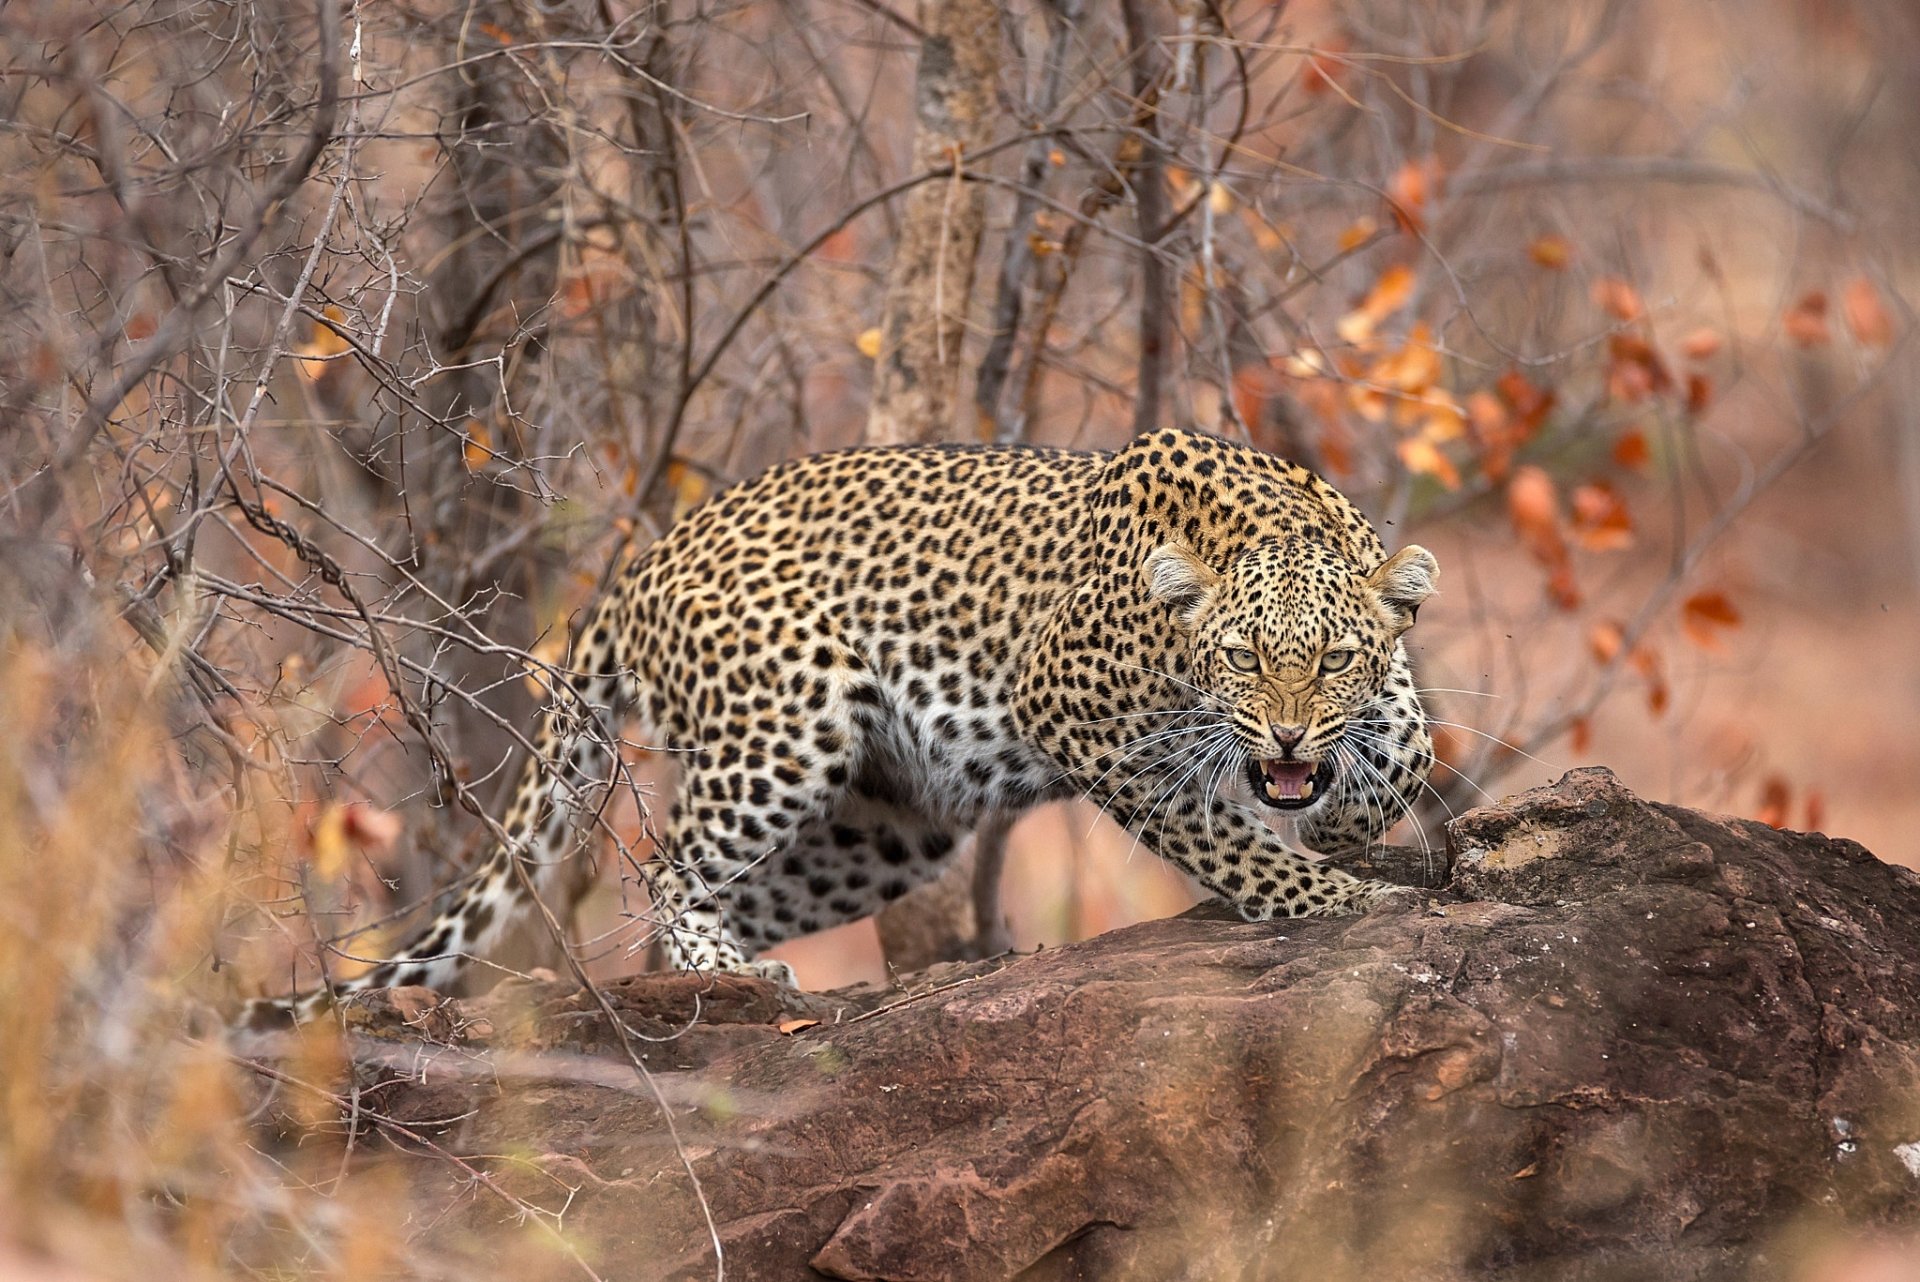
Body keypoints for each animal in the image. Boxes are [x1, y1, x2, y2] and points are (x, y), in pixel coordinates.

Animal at [248, 427, 1438, 1023]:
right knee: (668, 864)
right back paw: (724, 969)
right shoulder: (1072, 713)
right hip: (790, 727)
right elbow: (1226, 837)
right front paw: (1333, 896)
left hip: (891, 824)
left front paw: (1350, 822)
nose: (1286, 741)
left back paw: (718, 974)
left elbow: (1409, 738)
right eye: (1241, 660)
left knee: (722, 899)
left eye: (1331, 661)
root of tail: (639, 566)